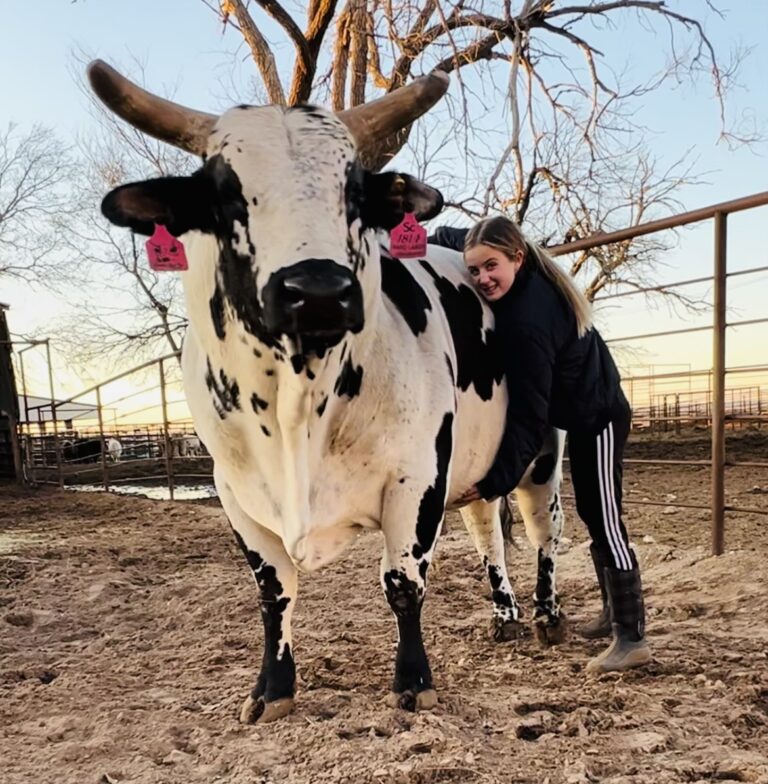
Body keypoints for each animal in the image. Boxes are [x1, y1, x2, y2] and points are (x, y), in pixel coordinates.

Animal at [89, 60, 566, 724]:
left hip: (543, 454)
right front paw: (272, 688)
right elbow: (274, 593)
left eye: (355, 193)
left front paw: (414, 681)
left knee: (545, 530)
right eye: (225, 194)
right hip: (475, 466)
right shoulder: (235, 494)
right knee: (486, 529)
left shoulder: (416, 478)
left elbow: (403, 583)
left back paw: (547, 615)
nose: (316, 291)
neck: (298, 411)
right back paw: (505, 614)